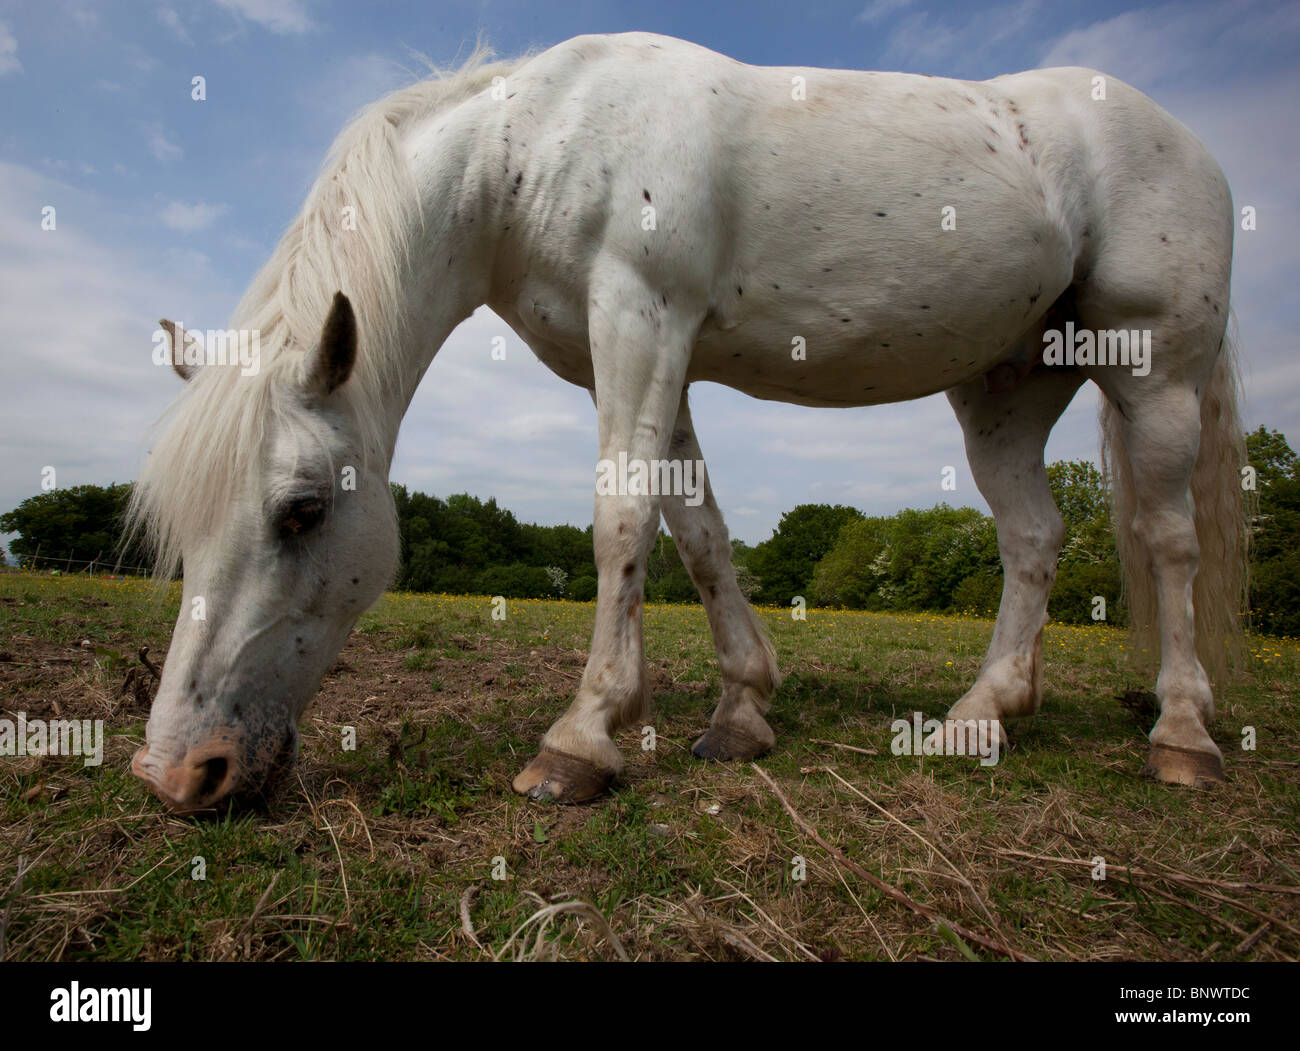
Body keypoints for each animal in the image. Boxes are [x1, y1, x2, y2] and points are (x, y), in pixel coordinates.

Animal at [127, 32, 1246, 812]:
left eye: (303, 511)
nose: (179, 774)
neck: (536, 143)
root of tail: (1187, 141)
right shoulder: (632, 360)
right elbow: (695, 529)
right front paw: (740, 710)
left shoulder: (639, 322)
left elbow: (621, 519)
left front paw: (579, 740)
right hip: (1004, 392)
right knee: (1034, 538)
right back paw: (980, 720)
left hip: (1153, 372)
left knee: (1168, 541)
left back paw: (1182, 735)